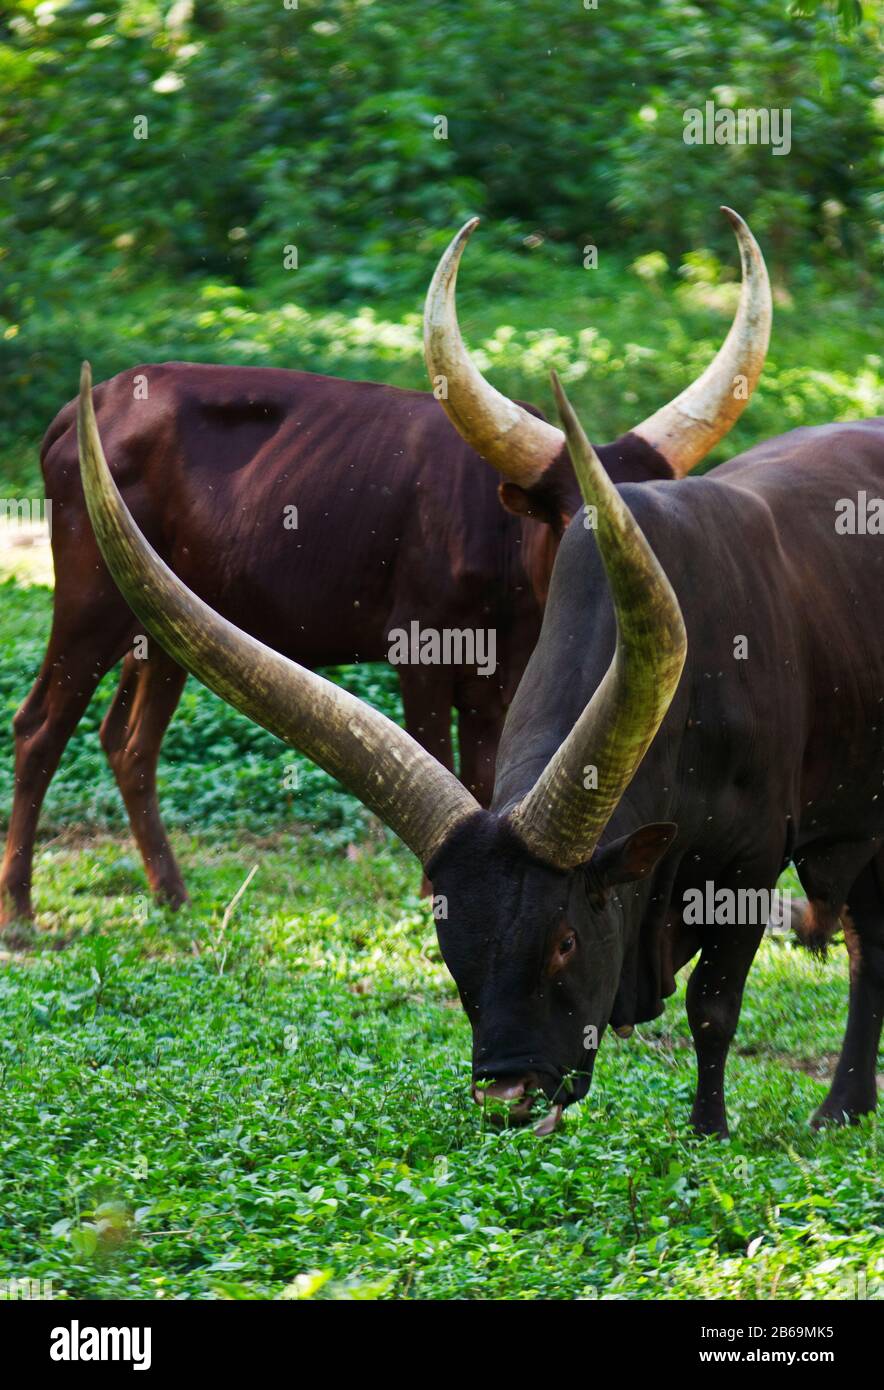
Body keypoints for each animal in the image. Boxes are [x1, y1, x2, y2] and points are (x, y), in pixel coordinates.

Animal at [0, 210, 770, 927]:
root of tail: (87, 406)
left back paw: (172, 894)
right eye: (574, 520)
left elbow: (486, 774)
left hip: (167, 623)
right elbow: (440, 757)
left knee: (128, 740)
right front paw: (436, 892)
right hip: (91, 600)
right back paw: (21, 909)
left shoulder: (502, 674)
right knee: (40, 726)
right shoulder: (420, 650)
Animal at [76, 359, 884, 1139]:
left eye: (564, 940)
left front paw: (709, 1132)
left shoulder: (750, 863)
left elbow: (712, 1012)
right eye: (450, 945)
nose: (507, 1096)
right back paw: (849, 1105)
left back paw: (838, 1106)